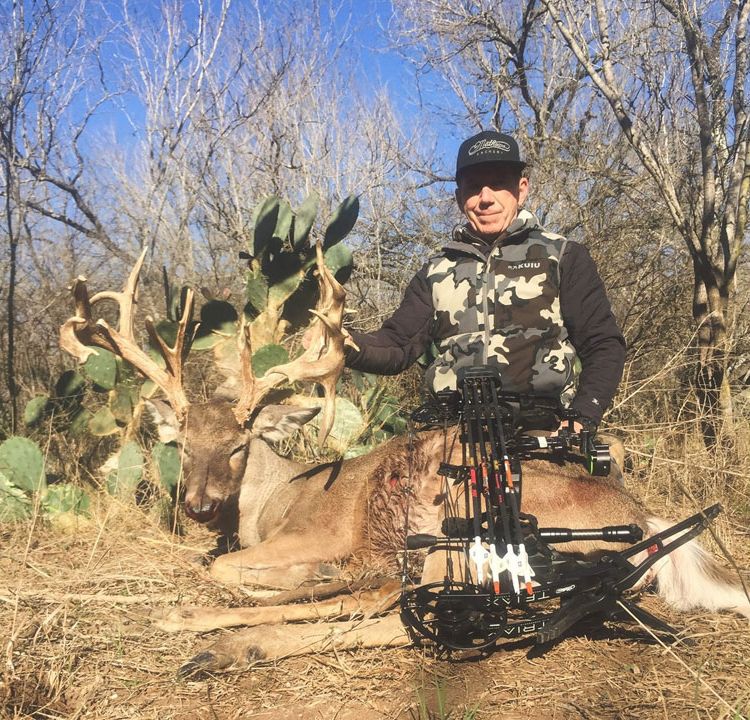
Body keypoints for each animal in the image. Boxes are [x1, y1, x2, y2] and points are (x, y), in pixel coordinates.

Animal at [60, 246, 750, 674]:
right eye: (179, 445)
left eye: (237, 444)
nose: (199, 506)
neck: (271, 501)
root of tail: (648, 521)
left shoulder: (315, 531)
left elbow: (226, 567)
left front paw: (257, 583)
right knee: (389, 603)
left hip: (459, 528)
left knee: (404, 614)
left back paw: (227, 640)